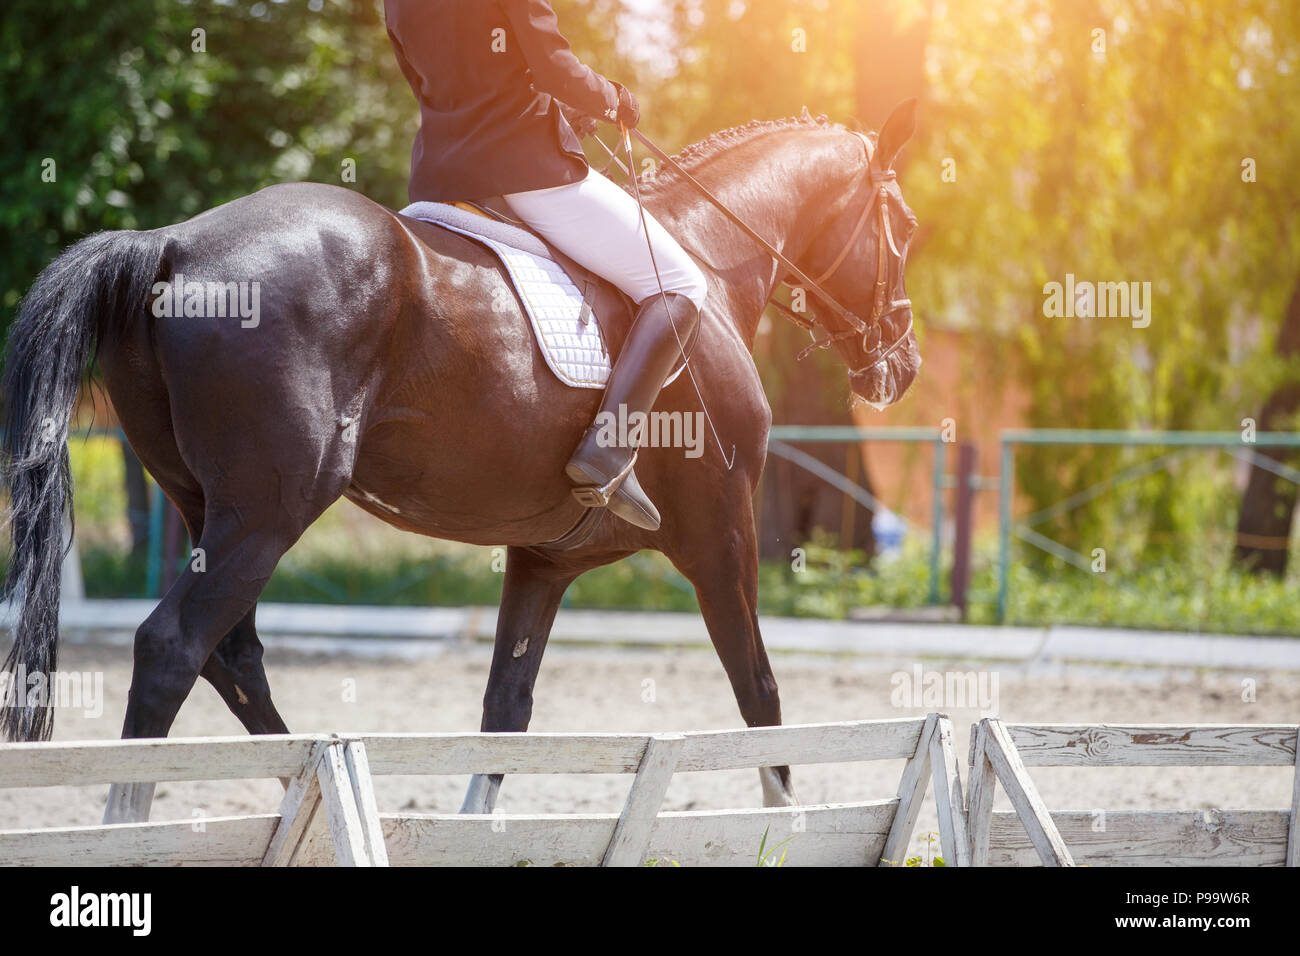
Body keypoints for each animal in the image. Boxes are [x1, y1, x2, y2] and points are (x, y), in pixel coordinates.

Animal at [1, 102, 920, 824]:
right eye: (905, 228)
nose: (901, 367)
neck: (709, 265)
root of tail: (172, 243)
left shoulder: (544, 560)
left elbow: (504, 710)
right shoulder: (722, 537)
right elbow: (759, 693)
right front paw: (786, 829)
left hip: (206, 506)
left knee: (234, 660)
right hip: (270, 511)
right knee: (172, 649)